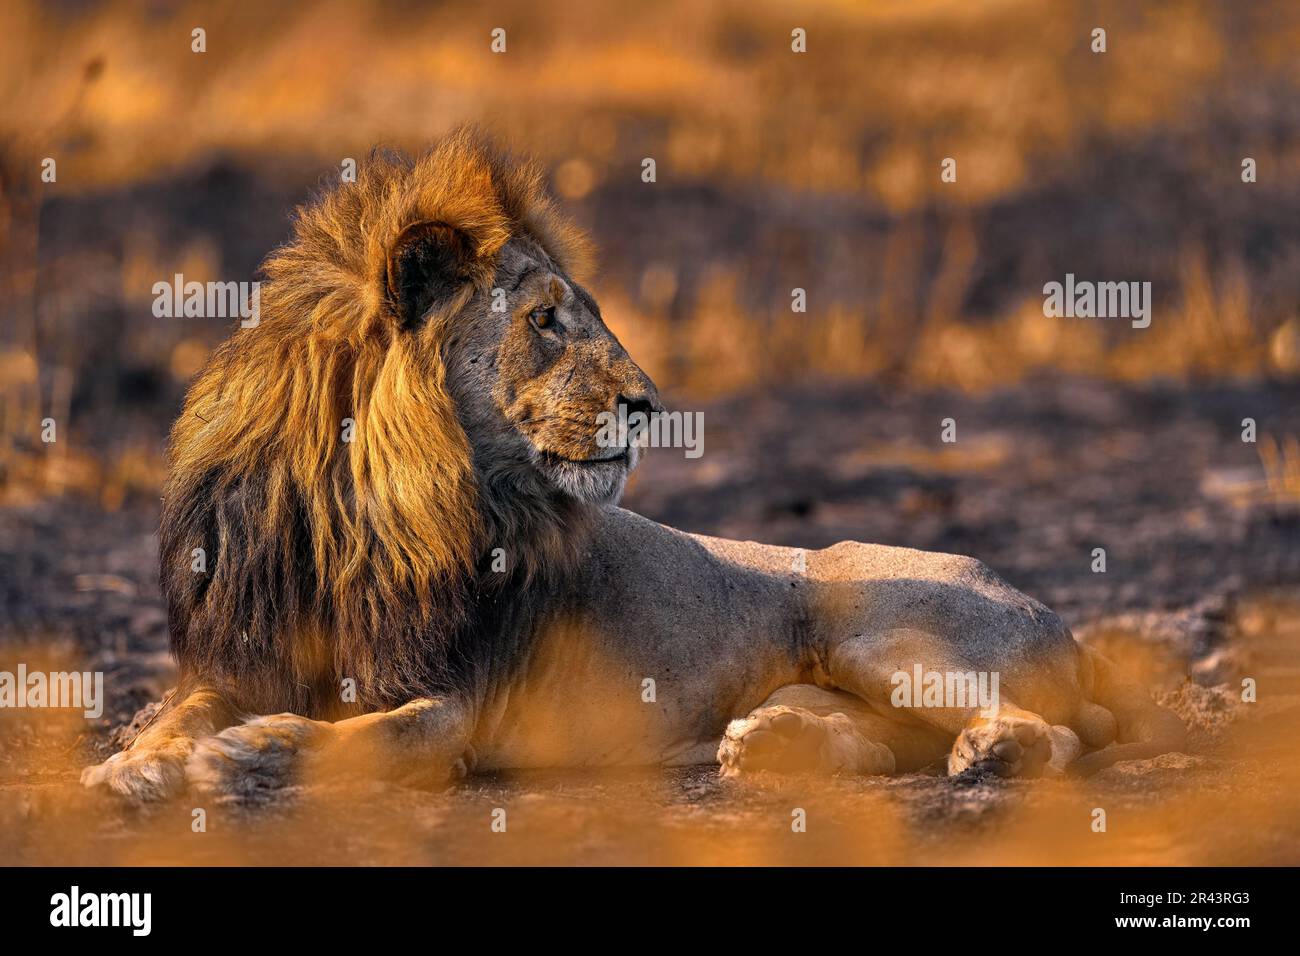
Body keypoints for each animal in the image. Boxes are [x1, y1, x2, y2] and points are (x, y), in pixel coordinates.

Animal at [82, 128, 1185, 802]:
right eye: (543, 321)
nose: (650, 402)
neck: (367, 507)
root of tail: (1061, 619)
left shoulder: (454, 701)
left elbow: (369, 736)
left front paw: (252, 752)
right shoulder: (251, 654)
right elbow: (179, 709)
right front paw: (137, 763)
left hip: (881, 627)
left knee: (1054, 734)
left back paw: (989, 752)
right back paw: (774, 745)